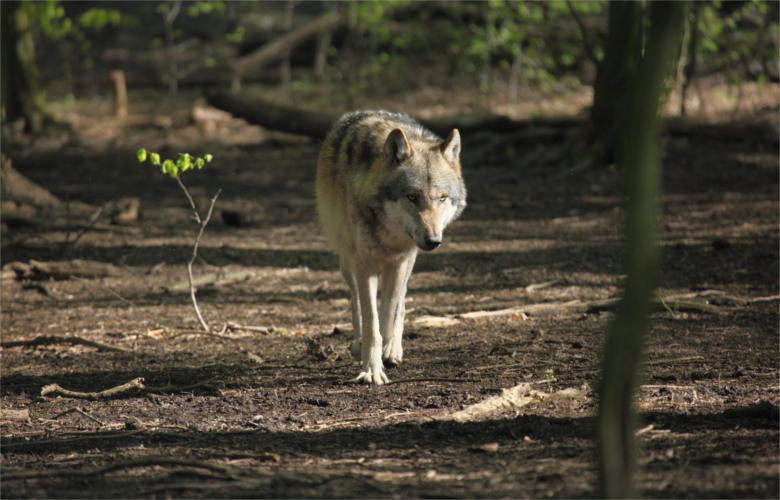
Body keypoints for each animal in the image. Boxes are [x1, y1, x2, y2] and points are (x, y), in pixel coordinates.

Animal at [316, 110, 467, 385]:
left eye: (442, 198)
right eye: (411, 197)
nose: (433, 241)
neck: (389, 235)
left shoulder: (400, 260)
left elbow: (388, 314)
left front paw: (386, 352)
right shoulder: (364, 264)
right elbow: (371, 321)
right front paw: (371, 370)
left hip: (408, 262)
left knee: (401, 303)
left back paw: (393, 348)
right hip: (347, 260)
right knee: (355, 301)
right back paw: (358, 344)